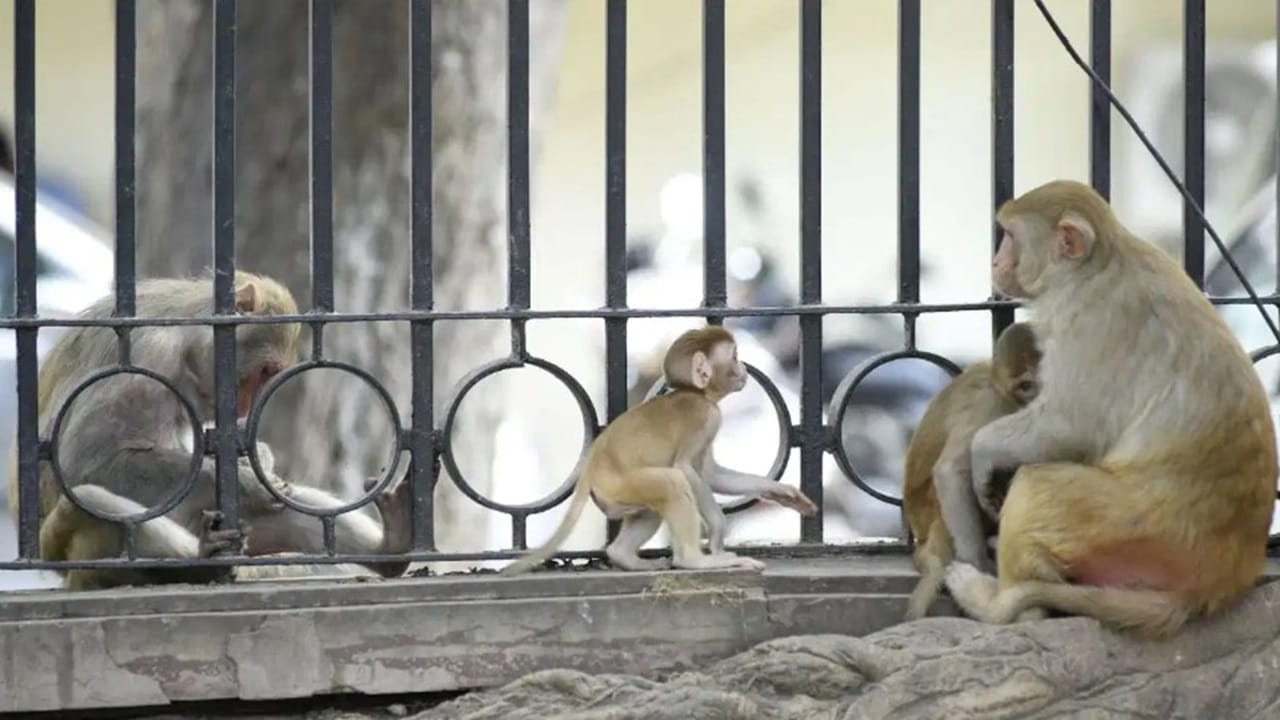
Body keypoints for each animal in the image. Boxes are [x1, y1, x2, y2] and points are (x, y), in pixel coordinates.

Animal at [6, 271, 412, 589]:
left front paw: (257, 460)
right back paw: (197, 564)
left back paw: (390, 550)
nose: (246, 407)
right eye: (266, 371)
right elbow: (83, 463)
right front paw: (244, 479)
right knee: (93, 499)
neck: (183, 336)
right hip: (68, 545)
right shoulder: (143, 361)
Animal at [501, 325, 817, 576]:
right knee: (672, 481)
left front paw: (782, 491)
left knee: (652, 509)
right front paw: (717, 532)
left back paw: (623, 556)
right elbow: (686, 468)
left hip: (621, 497)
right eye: (735, 357)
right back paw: (693, 560)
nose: (744, 369)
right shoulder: (705, 416)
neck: (696, 392)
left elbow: (710, 474)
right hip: (621, 484)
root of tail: (590, 469)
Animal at [899, 321, 1041, 621]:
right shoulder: (989, 404)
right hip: (934, 509)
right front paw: (976, 566)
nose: (1037, 395)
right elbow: (951, 472)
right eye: (1025, 385)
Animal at [940, 179, 1278, 639]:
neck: (1093, 267)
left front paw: (982, 451)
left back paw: (995, 604)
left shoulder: (1090, 322)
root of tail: (1210, 586)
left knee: (1038, 487)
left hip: (1134, 531)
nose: (996, 261)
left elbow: (1069, 426)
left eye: (1009, 236)